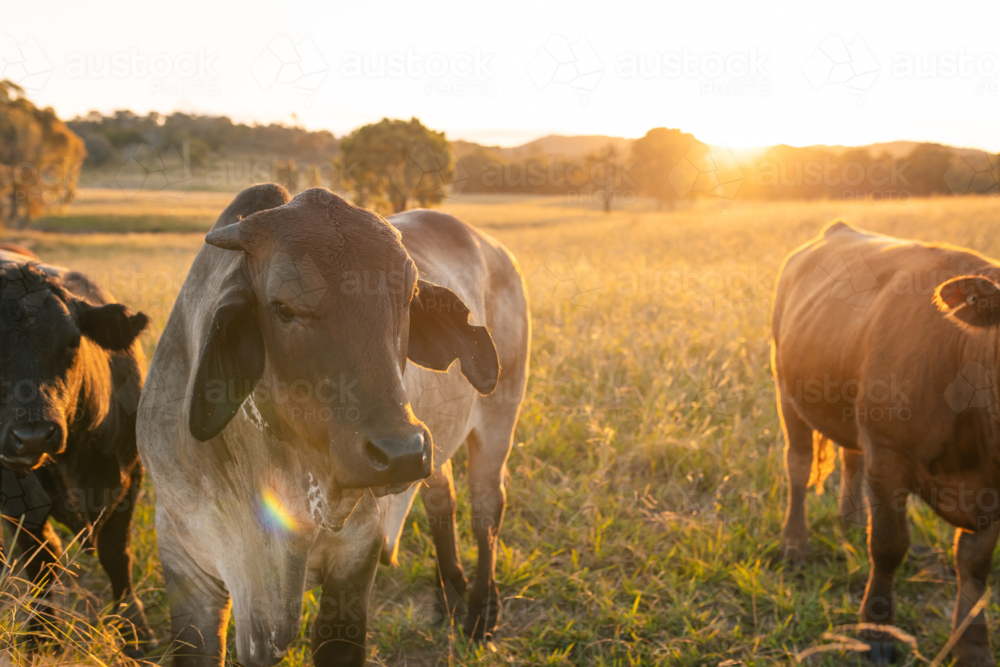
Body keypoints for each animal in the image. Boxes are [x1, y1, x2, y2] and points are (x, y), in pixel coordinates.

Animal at [0, 247, 153, 654]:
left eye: (72, 342)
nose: (33, 435)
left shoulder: (130, 475)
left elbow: (116, 553)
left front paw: (134, 628)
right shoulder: (15, 495)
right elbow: (42, 558)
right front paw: (41, 633)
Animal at [137, 184, 529, 667]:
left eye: (407, 298)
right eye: (283, 308)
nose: (400, 453)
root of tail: (494, 249)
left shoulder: (355, 556)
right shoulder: (185, 562)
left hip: (496, 420)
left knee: (486, 510)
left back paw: (481, 611)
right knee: (443, 502)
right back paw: (448, 594)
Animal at [772, 220, 1000, 666]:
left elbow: (974, 565)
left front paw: (973, 648)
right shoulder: (888, 455)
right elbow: (890, 545)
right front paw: (876, 629)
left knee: (850, 457)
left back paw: (850, 521)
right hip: (786, 390)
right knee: (799, 466)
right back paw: (795, 544)